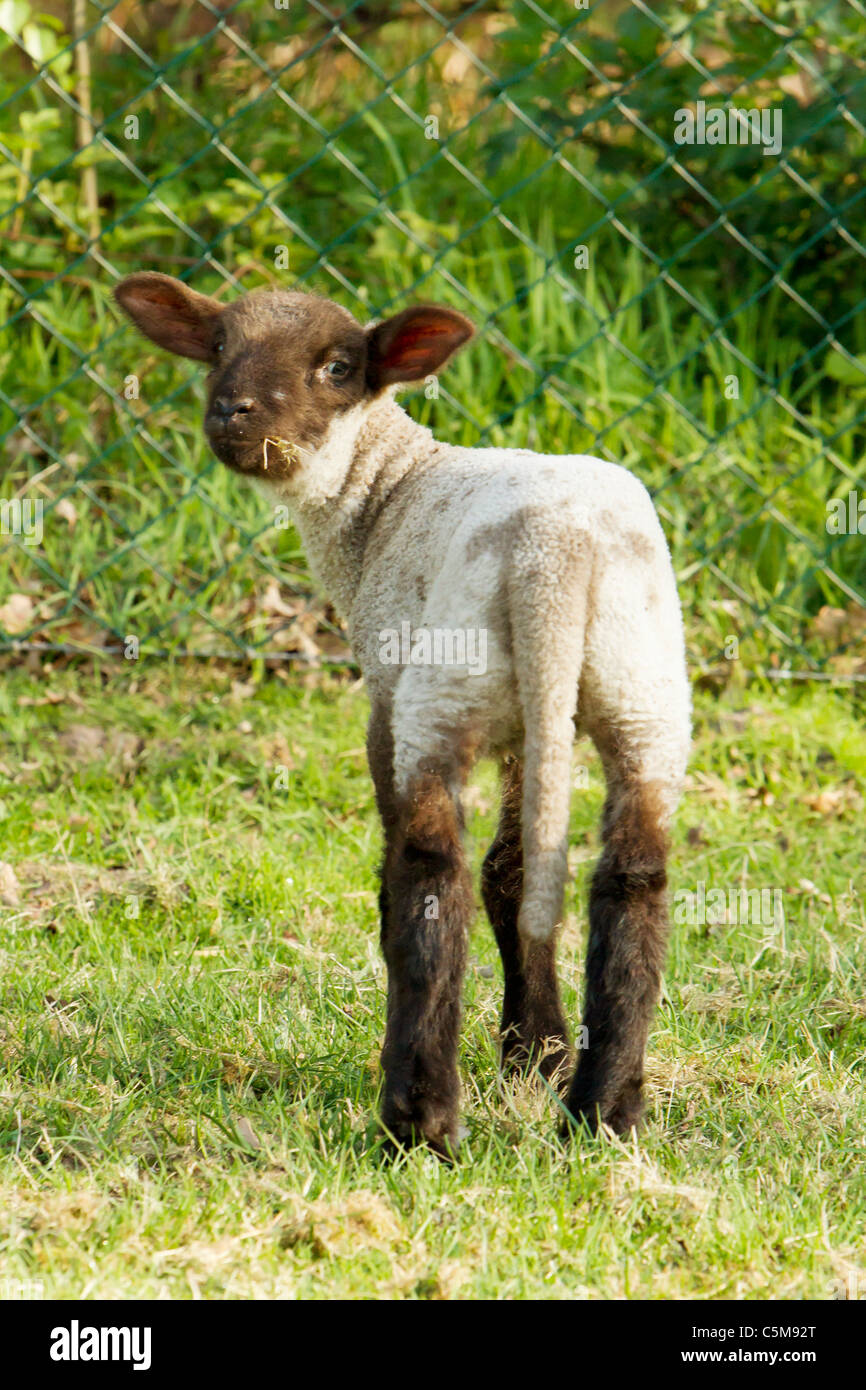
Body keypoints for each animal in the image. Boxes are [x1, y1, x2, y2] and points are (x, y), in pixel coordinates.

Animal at [114, 273, 692, 1157]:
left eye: (338, 366)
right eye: (217, 346)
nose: (232, 412)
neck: (383, 490)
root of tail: (555, 558)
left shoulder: (387, 692)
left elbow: (422, 883)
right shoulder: (528, 727)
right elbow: (513, 874)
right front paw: (535, 1054)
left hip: (441, 694)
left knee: (429, 874)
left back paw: (417, 1121)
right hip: (642, 690)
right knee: (632, 877)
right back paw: (604, 1114)